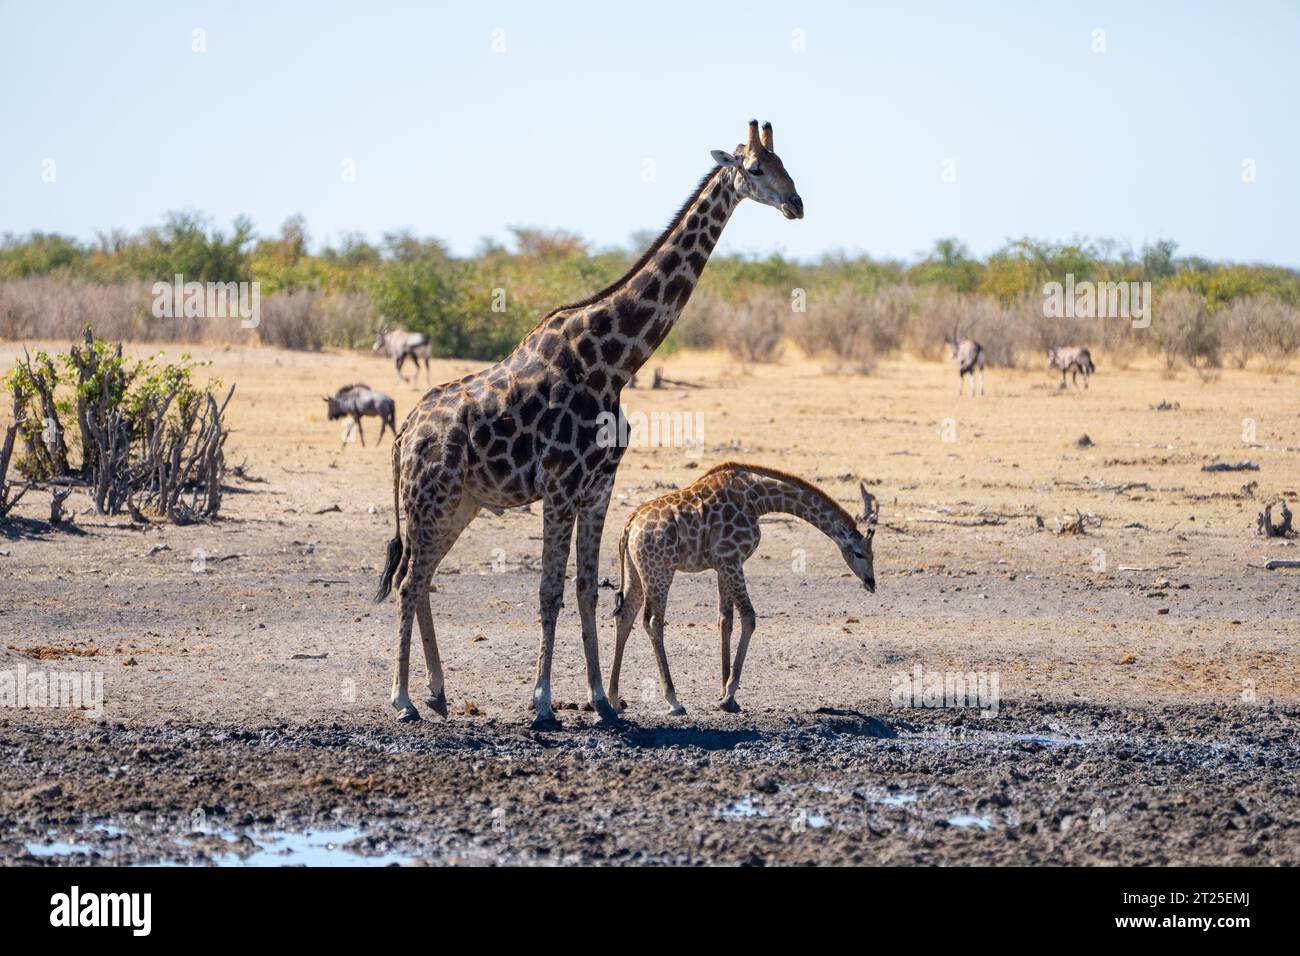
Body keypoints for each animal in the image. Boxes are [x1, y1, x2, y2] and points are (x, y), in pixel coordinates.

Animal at [374, 121, 804, 728]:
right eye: (757, 168)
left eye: (788, 163)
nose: (796, 203)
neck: (613, 362)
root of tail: (405, 433)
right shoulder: (559, 483)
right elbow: (548, 590)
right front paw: (542, 704)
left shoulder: (599, 485)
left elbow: (587, 590)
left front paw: (602, 700)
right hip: (427, 498)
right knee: (410, 580)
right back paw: (404, 698)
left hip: (460, 503)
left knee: (425, 579)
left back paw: (436, 693)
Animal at [606, 463, 879, 715]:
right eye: (859, 553)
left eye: (872, 554)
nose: (871, 583)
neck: (758, 499)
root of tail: (628, 526)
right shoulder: (733, 560)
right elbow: (749, 617)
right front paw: (729, 694)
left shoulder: (722, 566)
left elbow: (725, 621)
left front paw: (724, 692)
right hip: (660, 571)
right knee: (653, 621)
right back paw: (673, 700)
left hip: (636, 571)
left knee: (625, 616)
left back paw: (614, 699)